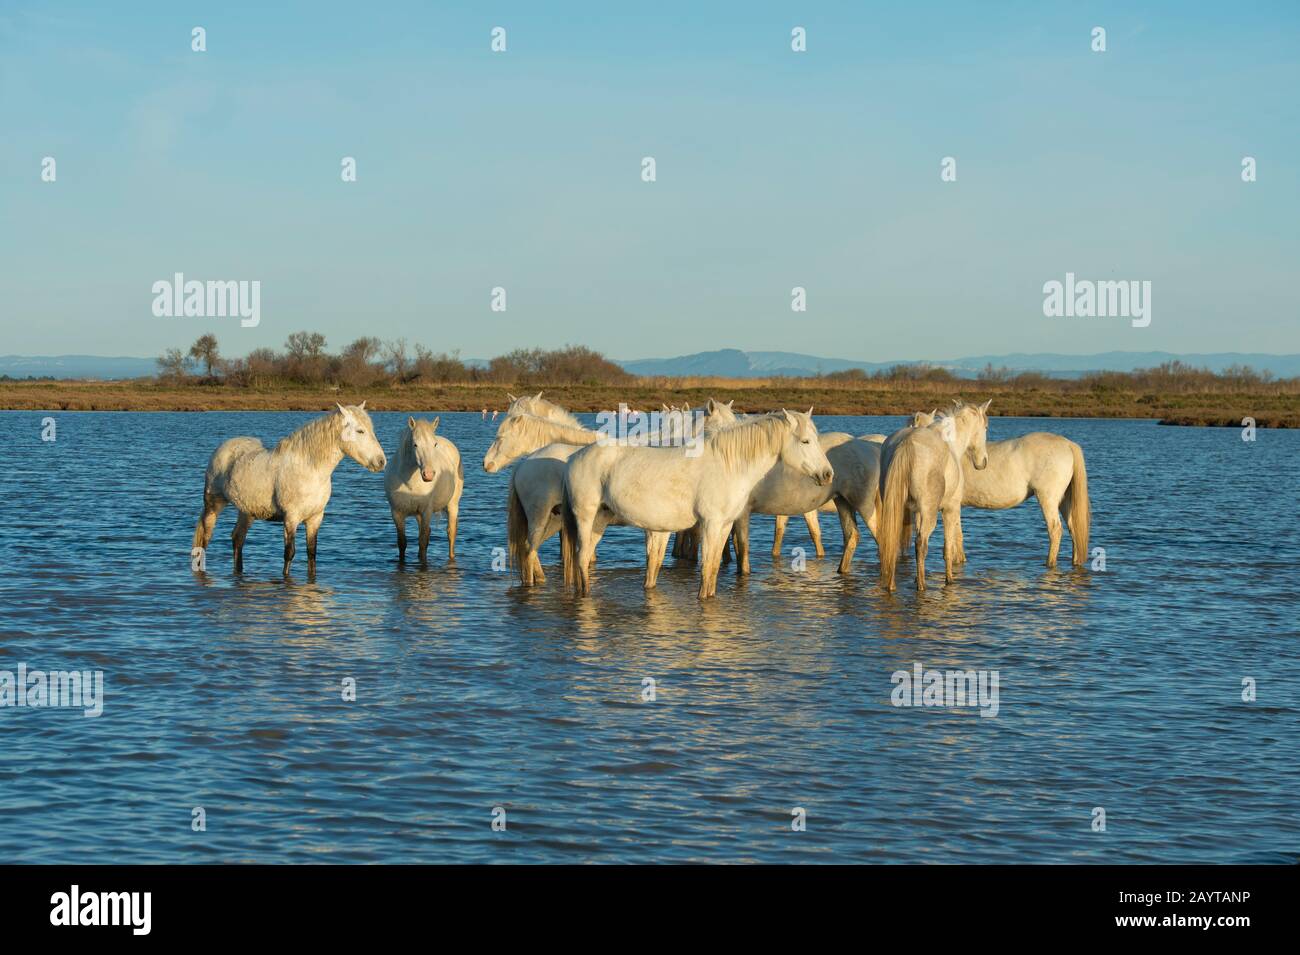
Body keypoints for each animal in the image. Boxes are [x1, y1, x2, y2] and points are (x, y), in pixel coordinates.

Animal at [193, 402, 387, 574]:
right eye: (360, 431)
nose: (381, 461)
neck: (310, 469)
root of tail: (222, 449)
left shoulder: (315, 519)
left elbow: (312, 553)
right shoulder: (291, 519)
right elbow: (289, 553)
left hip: (246, 512)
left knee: (238, 539)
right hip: (213, 505)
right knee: (205, 540)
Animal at [385, 416, 464, 564]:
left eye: (435, 444)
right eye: (415, 444)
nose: (429, 474)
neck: (409, 482)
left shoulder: (427, 511)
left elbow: (423, 541)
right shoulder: (397, 513)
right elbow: (402, 543)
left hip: (452, 504)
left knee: (451, 532)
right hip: (418, 514)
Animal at [561, 410, 834, 599]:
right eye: (805, 441)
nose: (827, 474)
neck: (729, 465)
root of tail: (573, 458)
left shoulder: (725, 525)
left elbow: (712, 570)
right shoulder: (710, 525)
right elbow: (706, 569)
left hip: (601, 519)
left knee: (584, 555)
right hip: (585, 517)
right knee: (582, 557)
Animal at [877, 401, 990, 591]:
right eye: (986, 427)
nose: (983, 462)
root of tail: (906, 443)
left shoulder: (917, 512)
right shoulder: (950, 509)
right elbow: (948, 548)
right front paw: (949, 580)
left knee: (891, 542)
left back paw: (892, 585)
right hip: (930, 513)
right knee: (921, 544)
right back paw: (922, 586)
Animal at [910, 411, 1089, 568]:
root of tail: (1068, 444)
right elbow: (957, 535)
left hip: (1048, 499)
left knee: (1055, 530)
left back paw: (1049, 564)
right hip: (1064, 500)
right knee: (1073, 529)